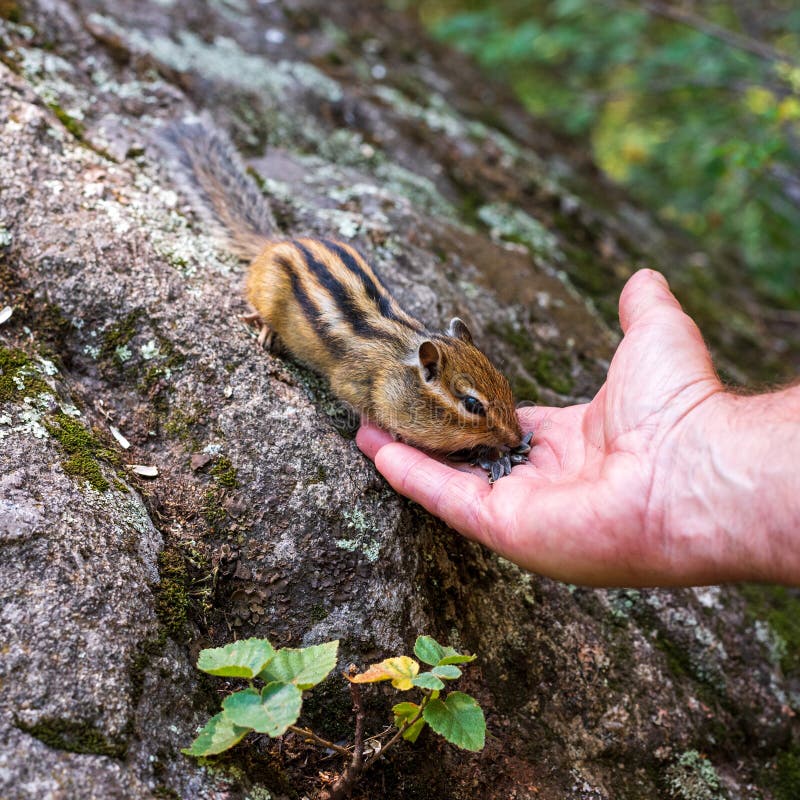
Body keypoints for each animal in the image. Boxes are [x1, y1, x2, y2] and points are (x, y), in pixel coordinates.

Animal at [158, 119, 529, 478]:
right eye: (472, 405)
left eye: (505, 382)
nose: (515, 438)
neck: (400, 366)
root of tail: (273, 244)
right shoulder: (354, 383)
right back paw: (266, 328)